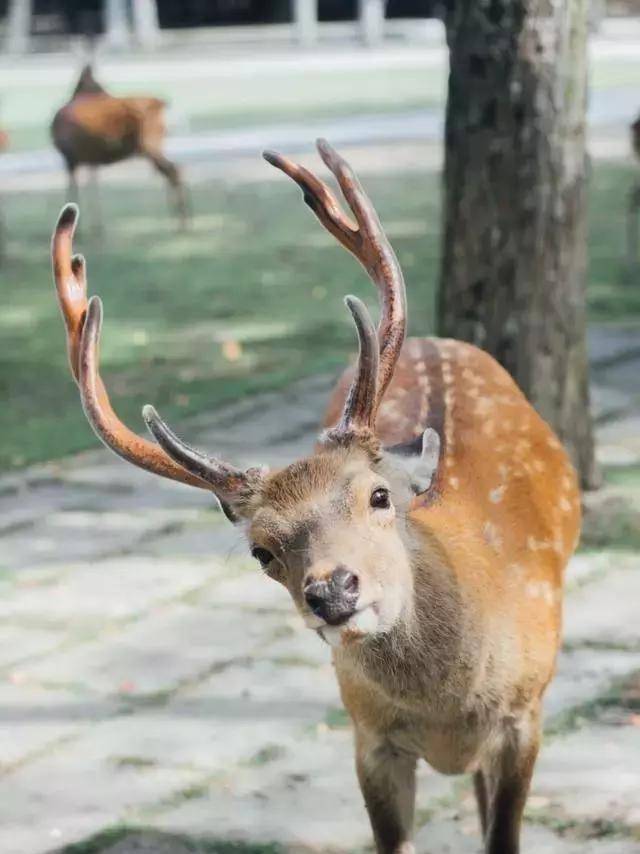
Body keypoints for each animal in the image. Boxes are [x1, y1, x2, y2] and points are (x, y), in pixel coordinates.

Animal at [51, 64, 188, 231]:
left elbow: (73, 190)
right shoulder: (88, 159)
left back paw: (182, 221)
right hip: (152, 146)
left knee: (173, 170)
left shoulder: (69, 157)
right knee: (171, 171)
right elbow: (91, 186)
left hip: (150, 144)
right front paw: (97, 225)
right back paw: (179, 217)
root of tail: (163, 104)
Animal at [51, 140, 581, 854]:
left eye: (379, 496)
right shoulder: (368, 737)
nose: (333, 590)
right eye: (261, 552)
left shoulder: (526, 714)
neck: (450, 707)